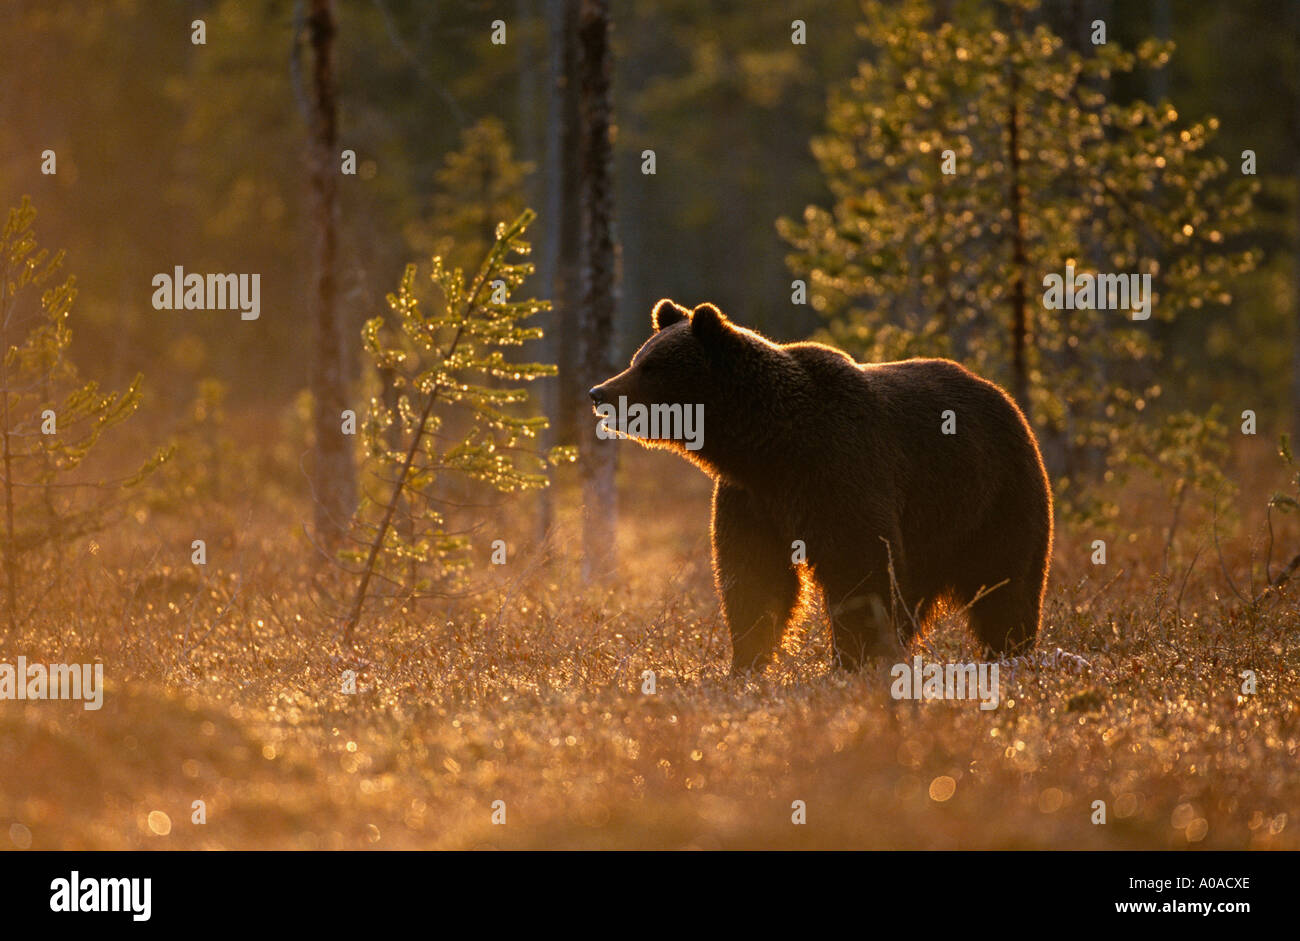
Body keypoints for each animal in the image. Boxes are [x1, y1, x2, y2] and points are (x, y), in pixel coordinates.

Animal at [588, 298, 1053, 673]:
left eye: (650, 367)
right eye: (639, 358)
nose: (600, 392)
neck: (768, 446)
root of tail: (1005, 398)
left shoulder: (840, 472)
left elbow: (859, 567)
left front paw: (852, 660)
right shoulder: (752, 499)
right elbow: (754, 578)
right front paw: (746, 663)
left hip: (994, 496)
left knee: (1007, 585)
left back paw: (1009, 653)